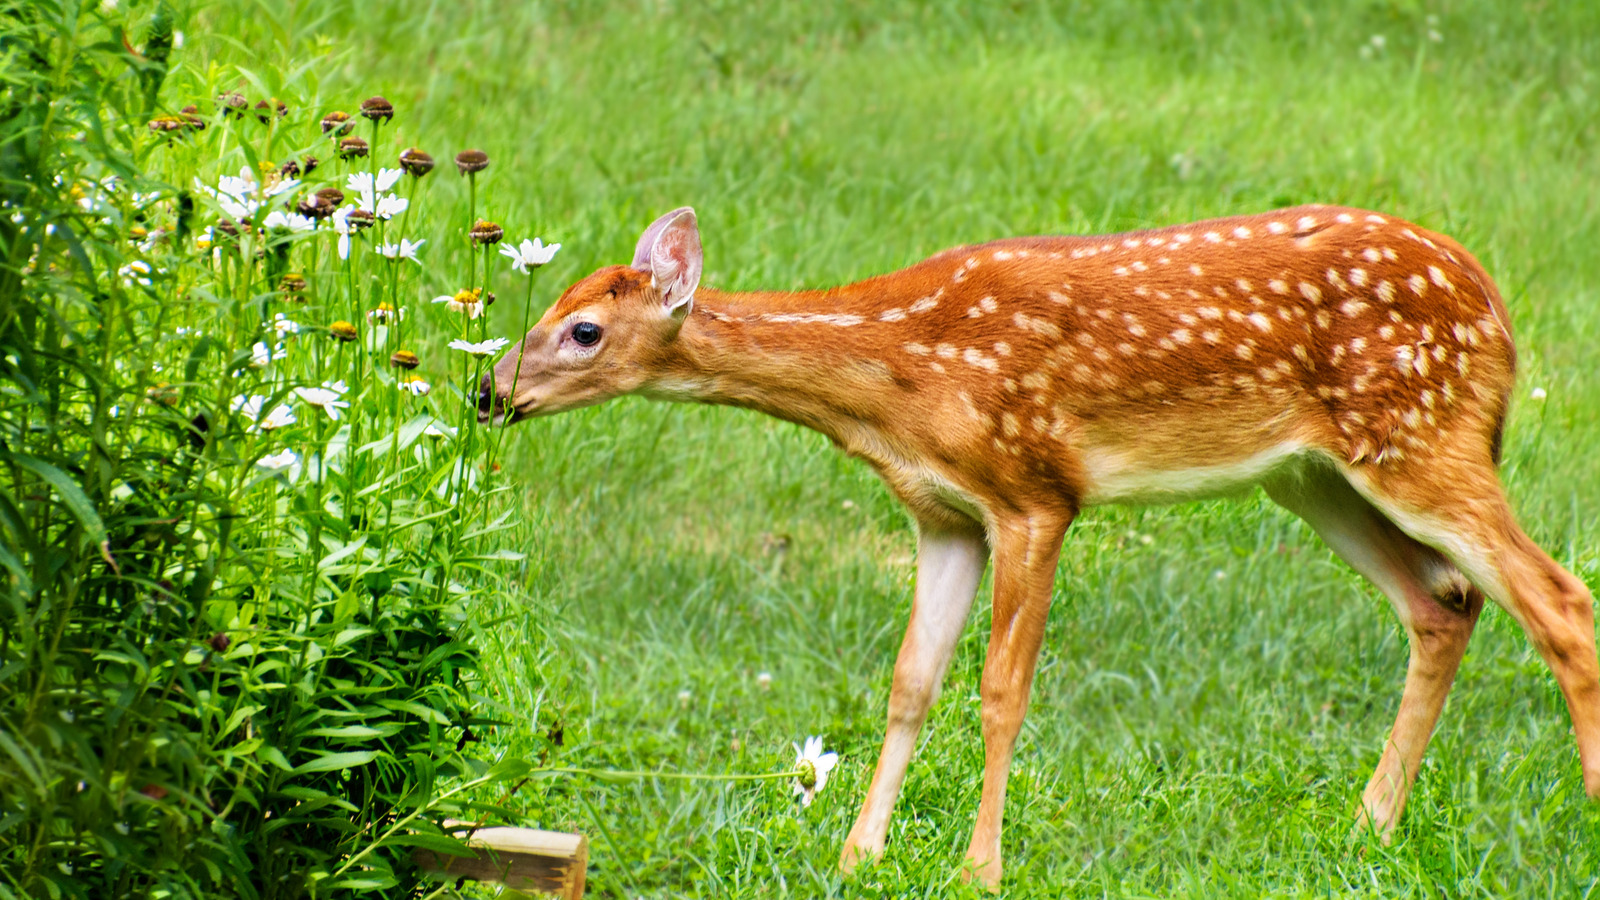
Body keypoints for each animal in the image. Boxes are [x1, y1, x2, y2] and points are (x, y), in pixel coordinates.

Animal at [478, 205, 1600, 888]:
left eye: (581, 330)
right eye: (551, 308)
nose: (489, 393)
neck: (896, 379)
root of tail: (1496, 308)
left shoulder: (1034, 494)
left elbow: (1000, 691)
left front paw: (979, 868)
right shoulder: (941, 514)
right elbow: (911, 681)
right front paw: (857, 854)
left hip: (1423, 433)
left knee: (1558, 600)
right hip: (1315, 474)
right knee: (1443, 602)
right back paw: (1367, 827)